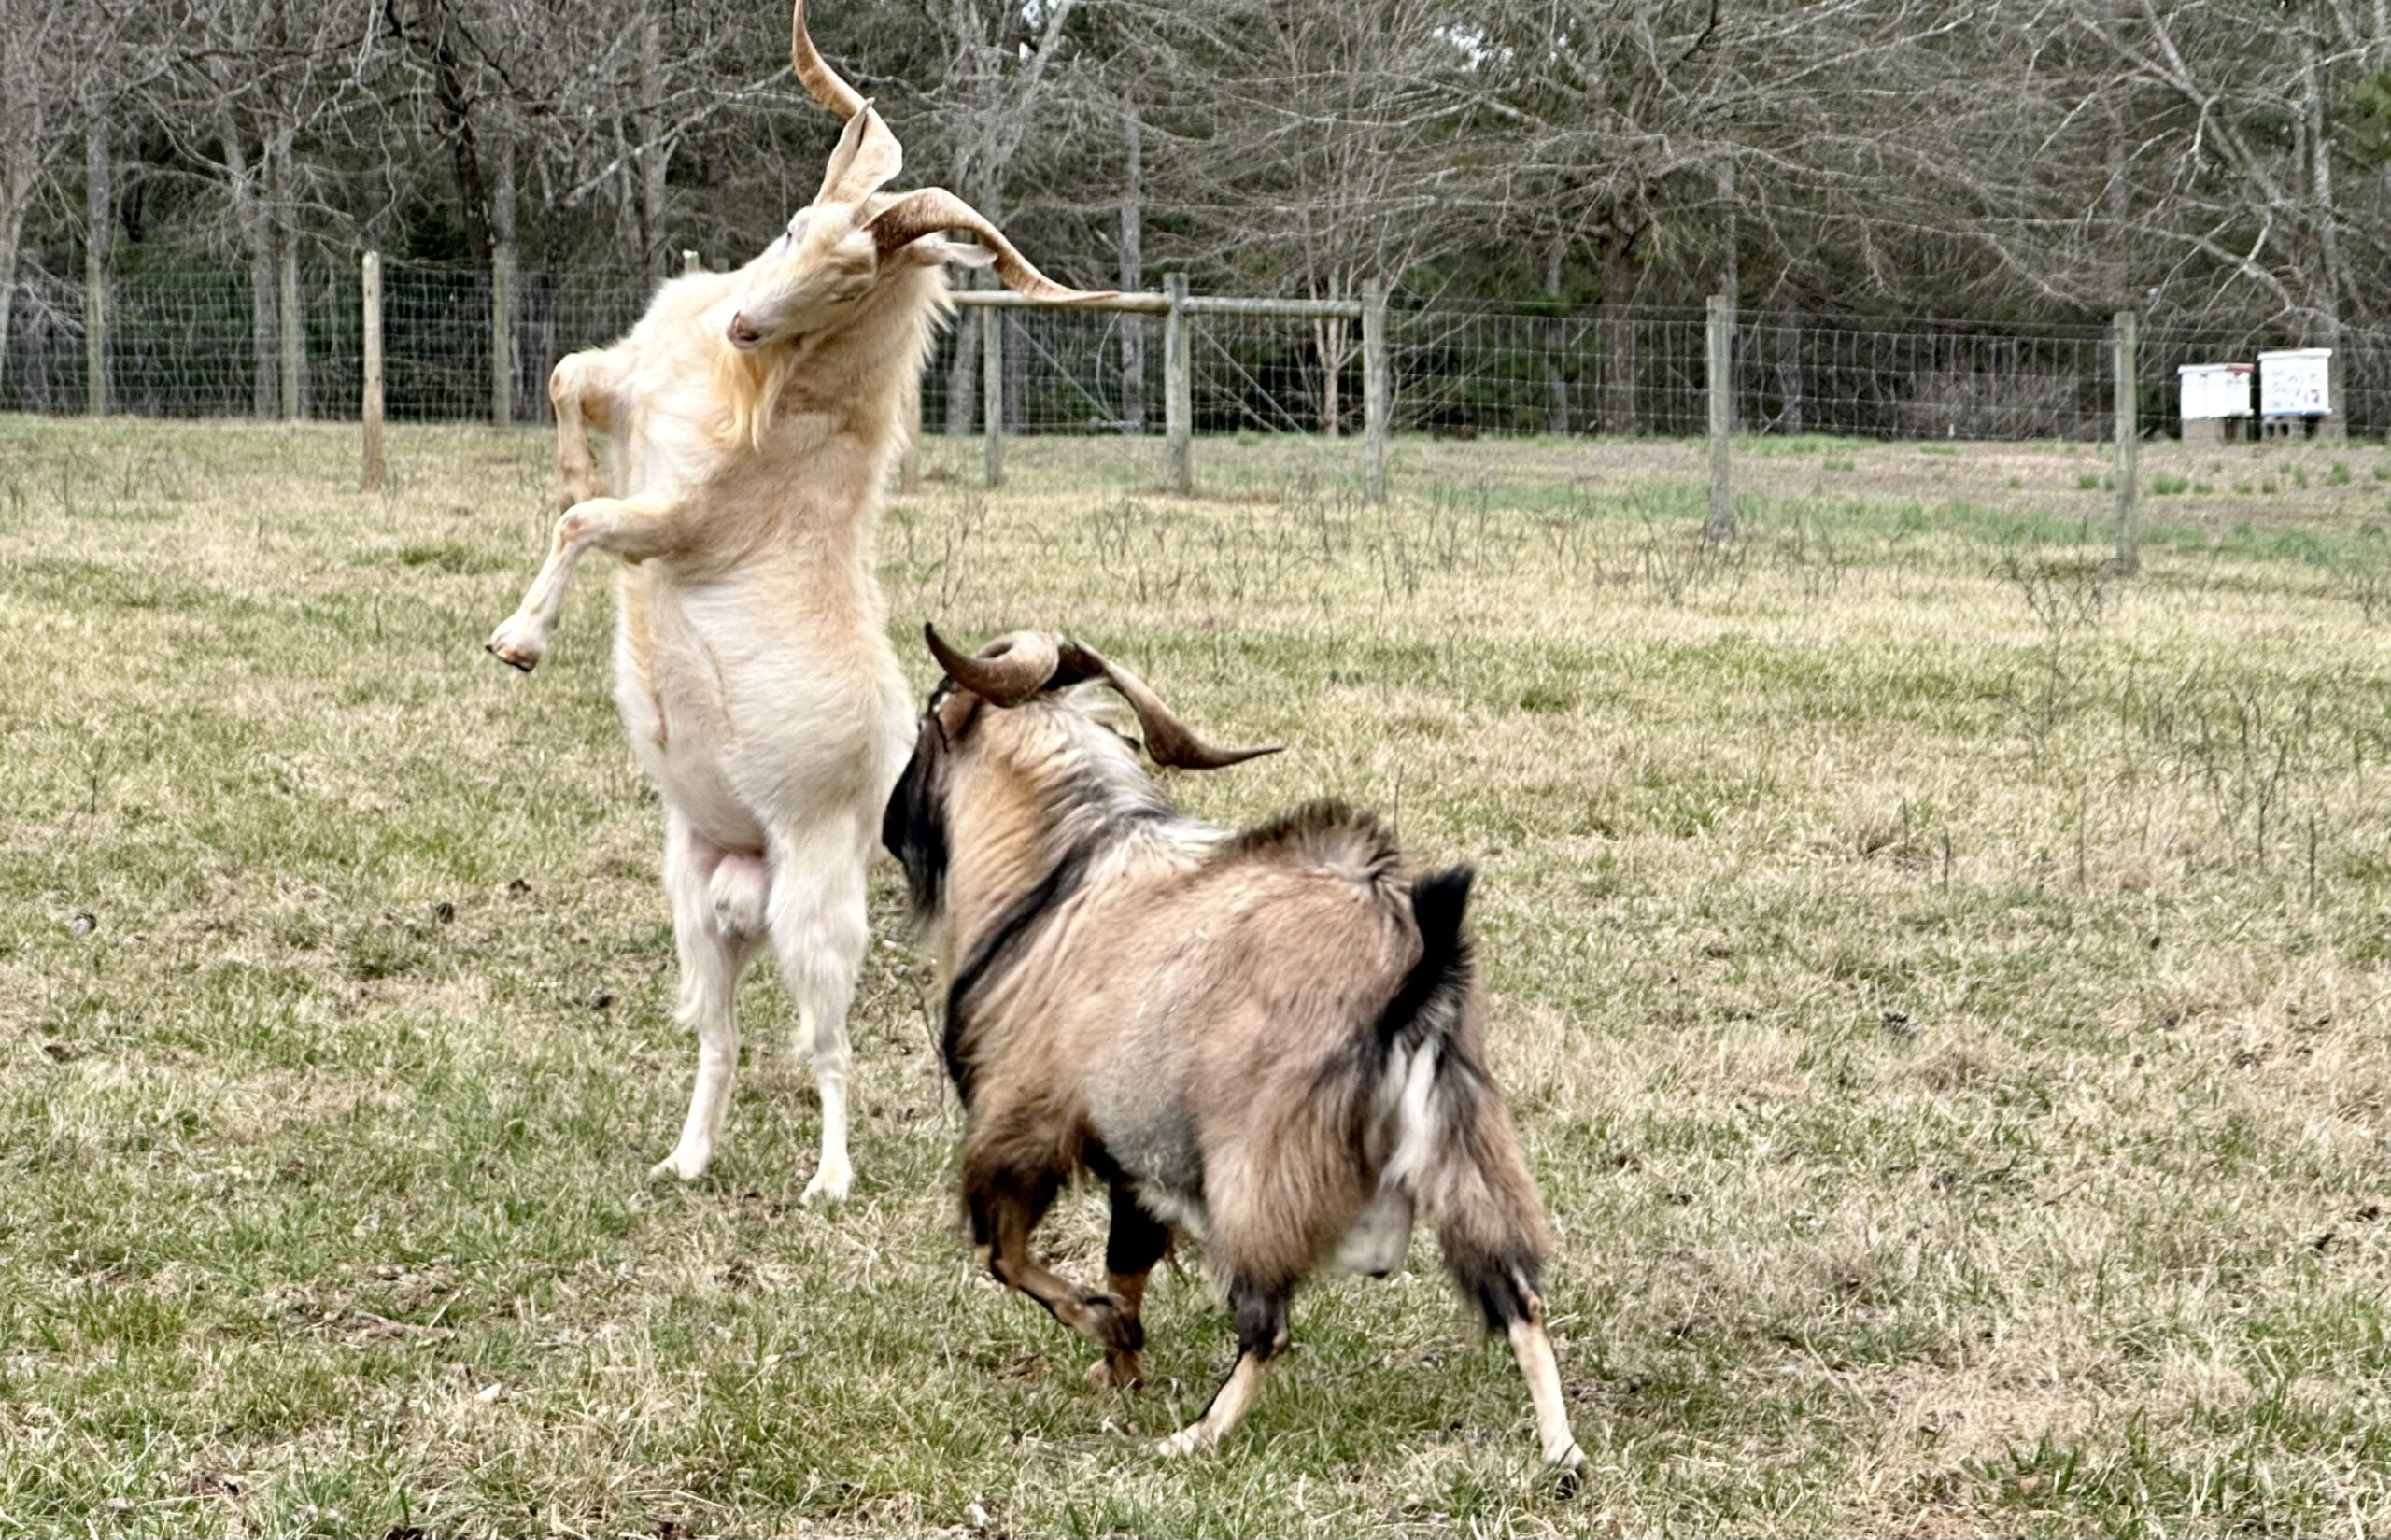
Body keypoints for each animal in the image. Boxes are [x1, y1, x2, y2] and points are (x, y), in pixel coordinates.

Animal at [482, 0, 1104, 1199]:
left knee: (827, 1044)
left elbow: (589, 527)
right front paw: (568, 480)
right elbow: (569, 384)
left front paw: (519, 640)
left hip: (820, 914)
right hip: (696, 903)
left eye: (855, 276)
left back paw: (831, 1179)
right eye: (794, 224)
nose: (742, 324)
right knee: (721, 1037)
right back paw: (685, 1159)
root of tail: (755, 883)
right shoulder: (632, 393)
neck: (772, 393)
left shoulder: (681, 518)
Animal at [881, 625, 1585, 1471]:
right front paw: (1119, 1363)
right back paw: (1561, 1453)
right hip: (1466, 1148)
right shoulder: (1135, 1157)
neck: (1059, 871)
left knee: (1267, 1326)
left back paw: (1196, 1434)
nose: (887, 827)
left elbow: (1008, 1256)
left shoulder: (1025, 1126)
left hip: (1258, 1177)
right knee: (1520, 1298)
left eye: (929, 719)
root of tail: (1413, 963)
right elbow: (1123, 1261)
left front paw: (1106, 1328)